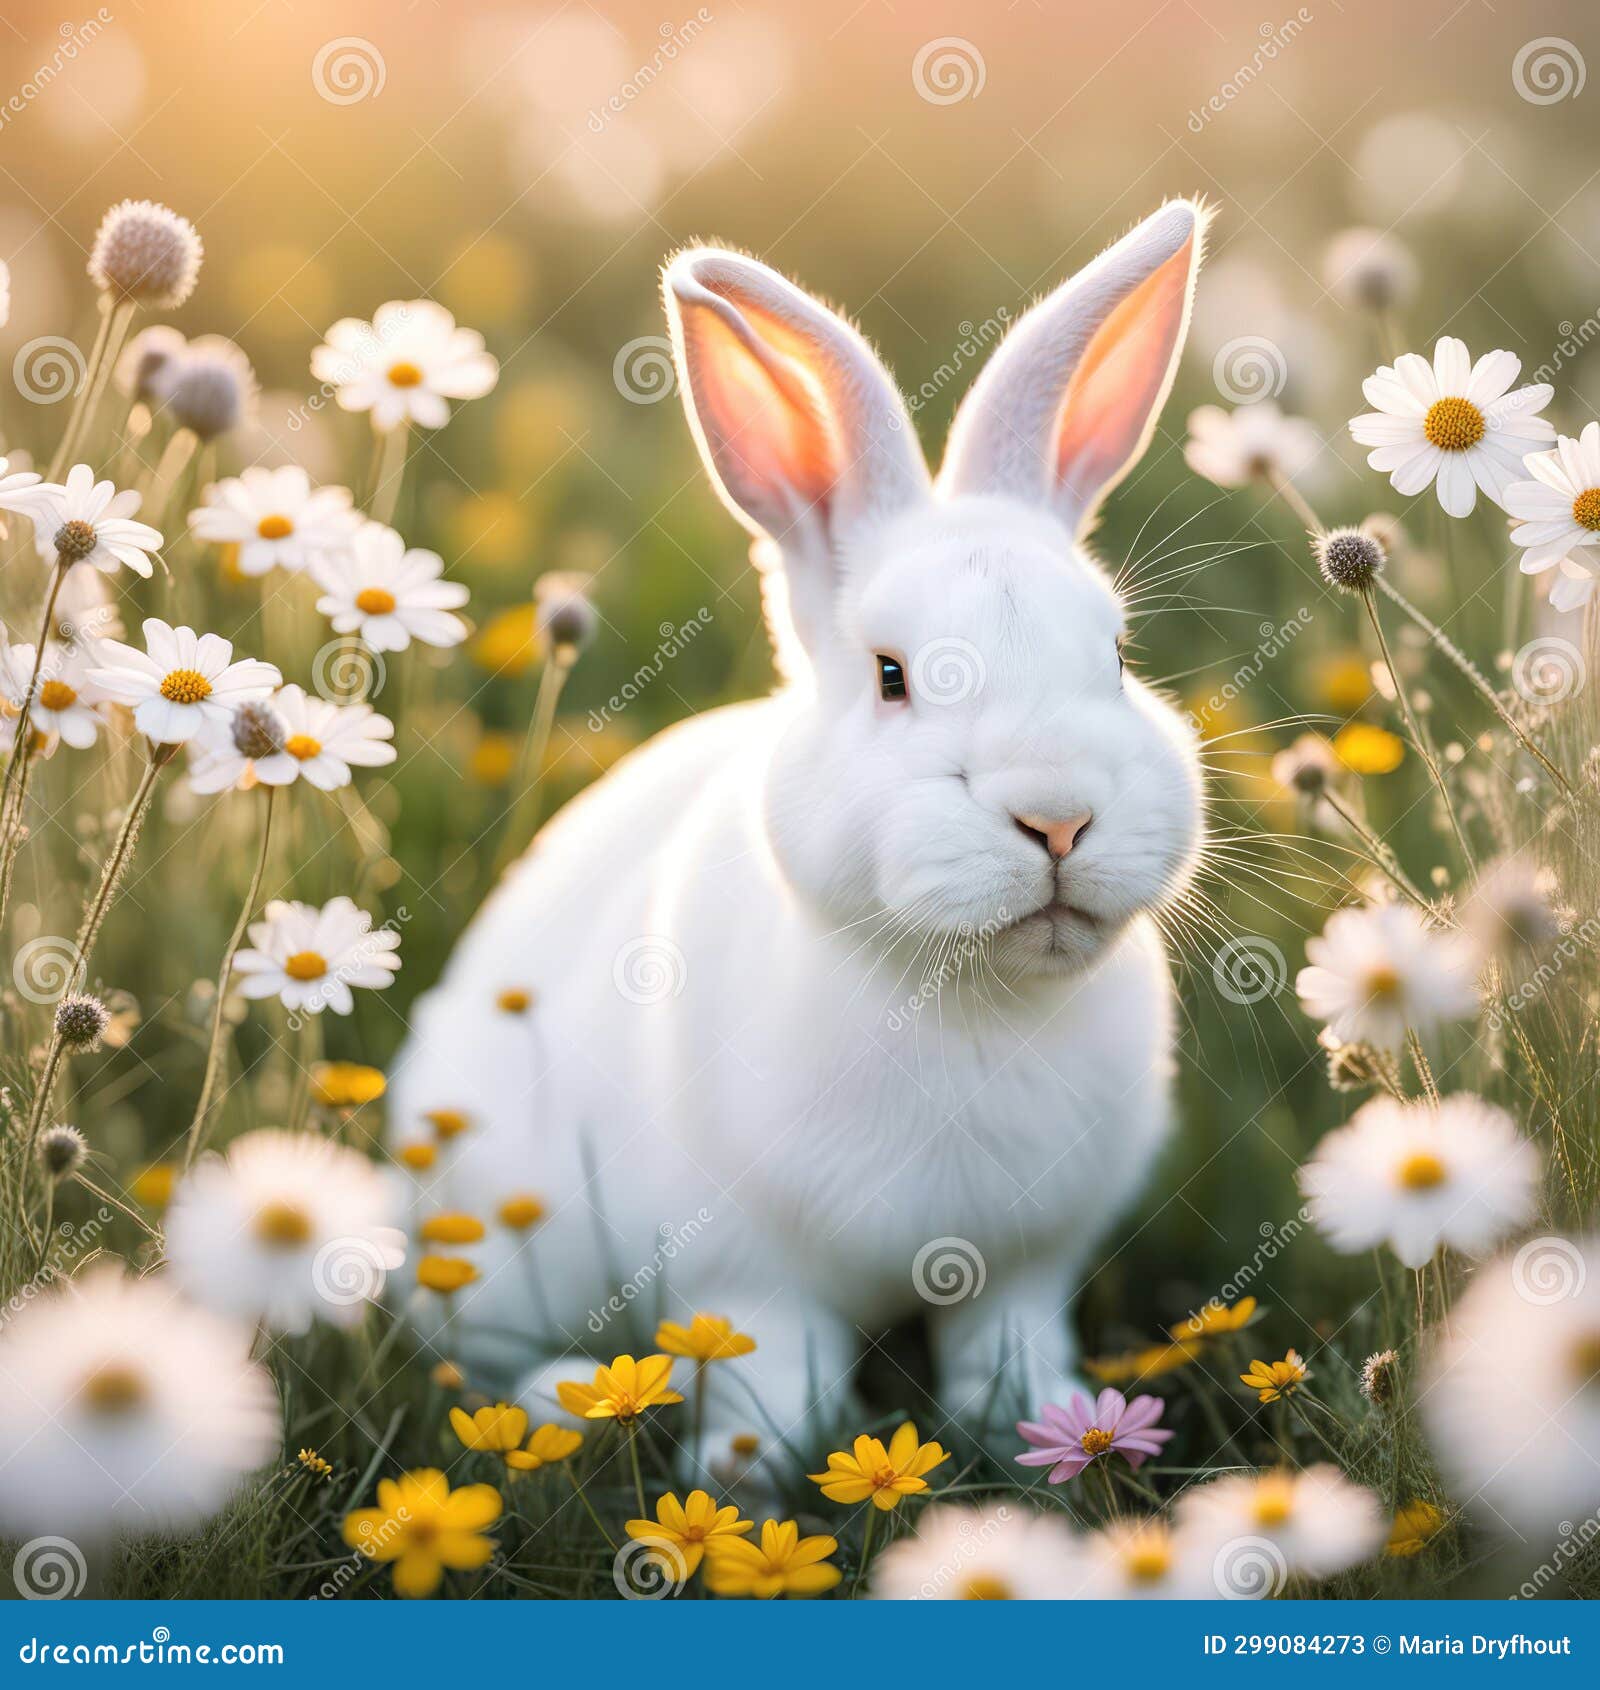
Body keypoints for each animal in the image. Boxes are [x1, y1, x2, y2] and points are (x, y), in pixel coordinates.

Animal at [389, 199, 1210, 1456]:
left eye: (1116, 659)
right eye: (890, 676)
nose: (1058, 817)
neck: (965, 997)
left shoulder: (1022, 1269)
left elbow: (1010, 1358)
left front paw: (1050, 1428)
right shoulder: (749, 1279)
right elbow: (779, 1399)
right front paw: (742, 1468)